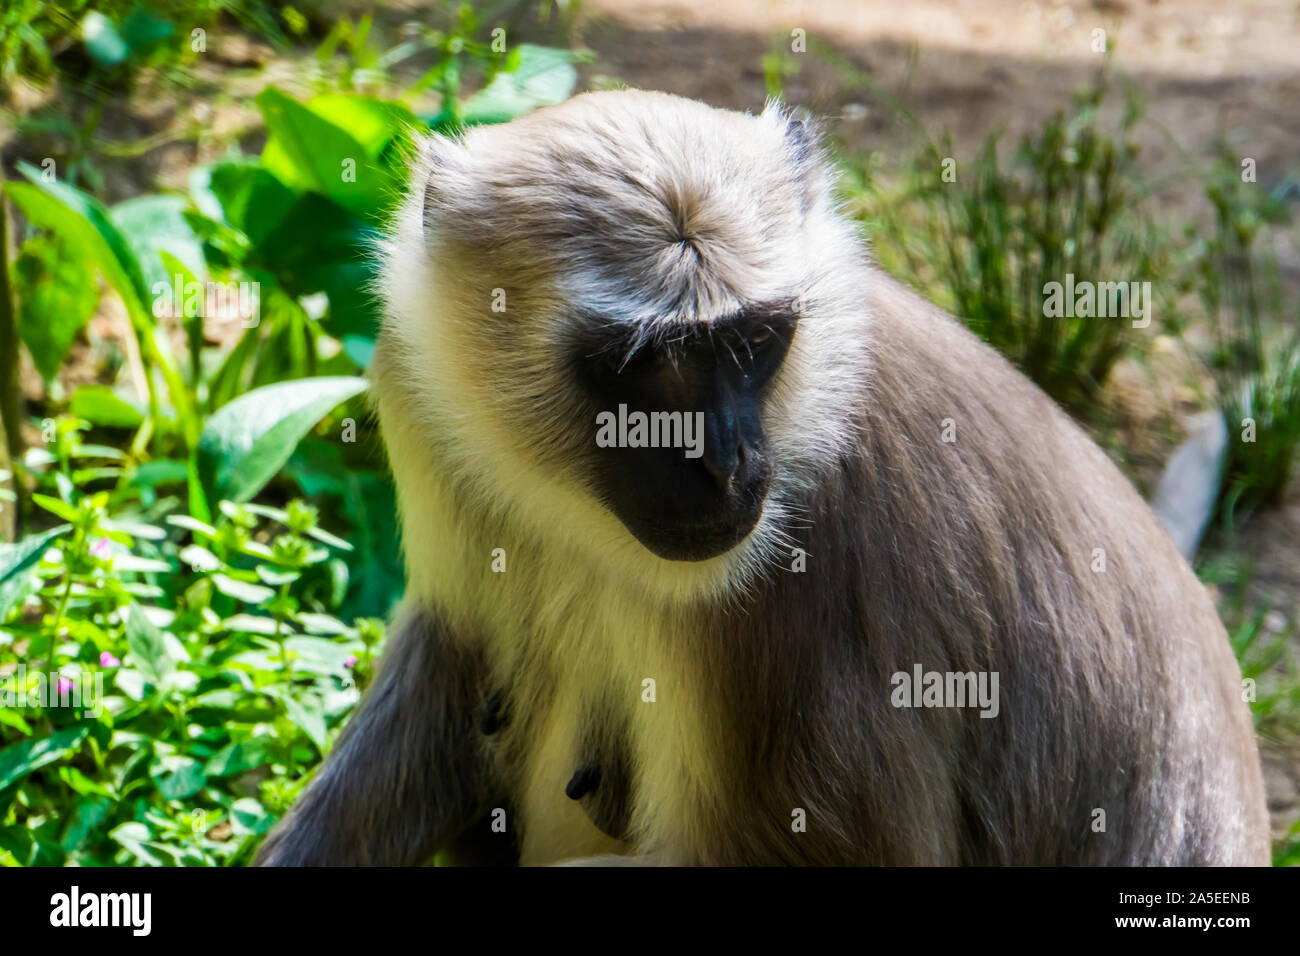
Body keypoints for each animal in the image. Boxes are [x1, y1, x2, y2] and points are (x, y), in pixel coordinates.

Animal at [254, 90, 1270, 866]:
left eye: (754, 344)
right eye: (642, 365)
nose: (725, 462)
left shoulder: (792, 592)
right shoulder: (422, 388)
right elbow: (452, 673)